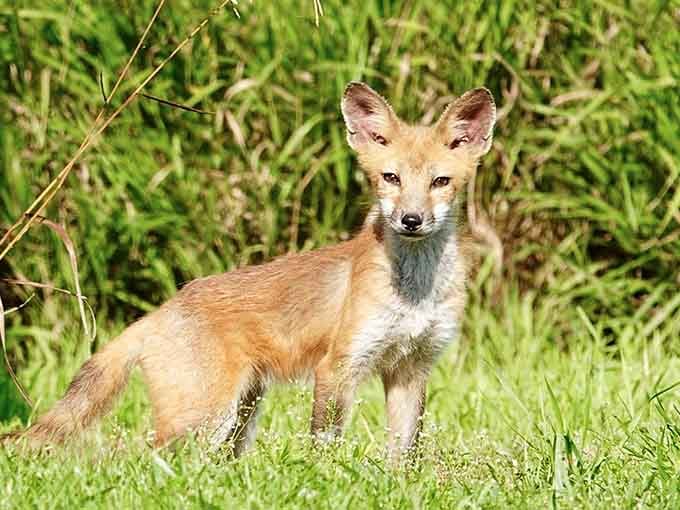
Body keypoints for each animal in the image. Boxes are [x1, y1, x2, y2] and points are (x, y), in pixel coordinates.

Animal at [3, 82, 496, 462]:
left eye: (440, 182)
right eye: (390, 178)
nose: (411, 220)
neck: (415, 293)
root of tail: (160, 311)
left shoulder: (412, 367)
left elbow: (403, 455)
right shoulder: (338, 366)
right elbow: (325, 448)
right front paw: (325, 482)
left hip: (241, 414)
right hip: (205, 418)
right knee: (142, 461)